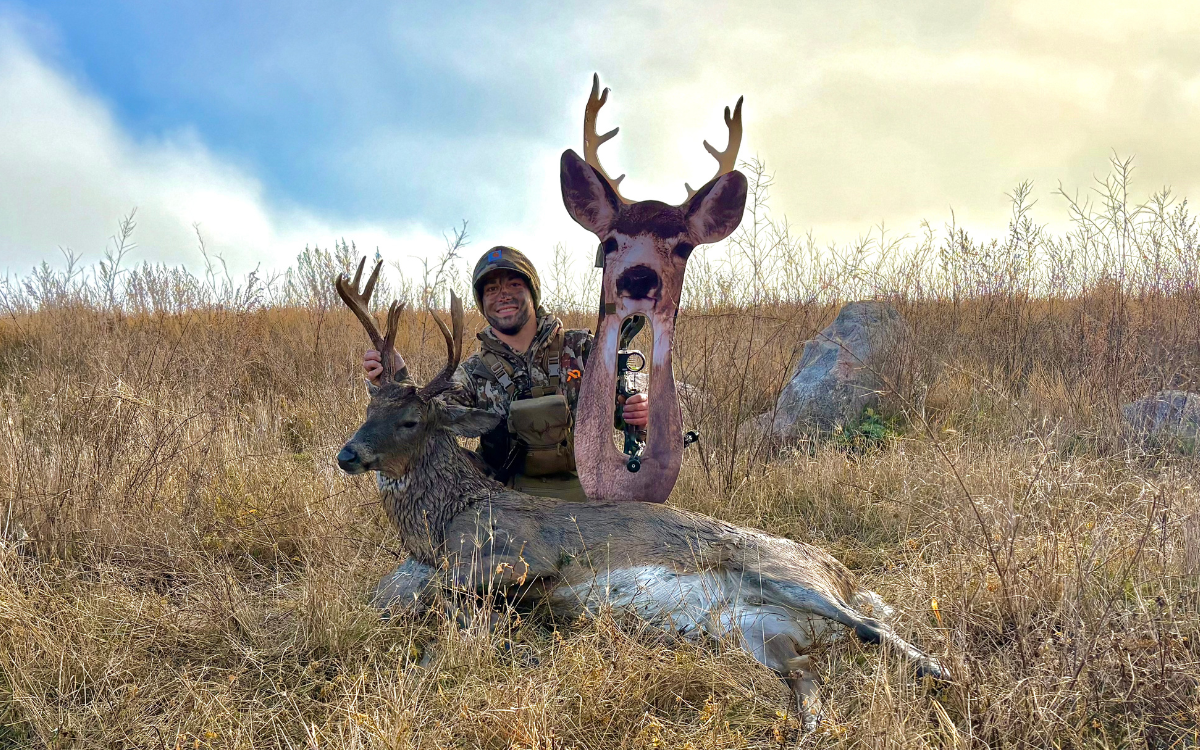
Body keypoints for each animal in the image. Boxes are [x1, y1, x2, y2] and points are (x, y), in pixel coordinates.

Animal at [334, 262, 950, 731]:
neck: (448, 517)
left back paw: (942, 671)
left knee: (875, 628)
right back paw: (810, 728)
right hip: (762, 632)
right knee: (809, 679)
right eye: (367, 409)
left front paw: (511, 645)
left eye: (411, 420)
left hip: (783, 571)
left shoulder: (523, 554)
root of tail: (842, 572)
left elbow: (449, 595)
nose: (347, 455)